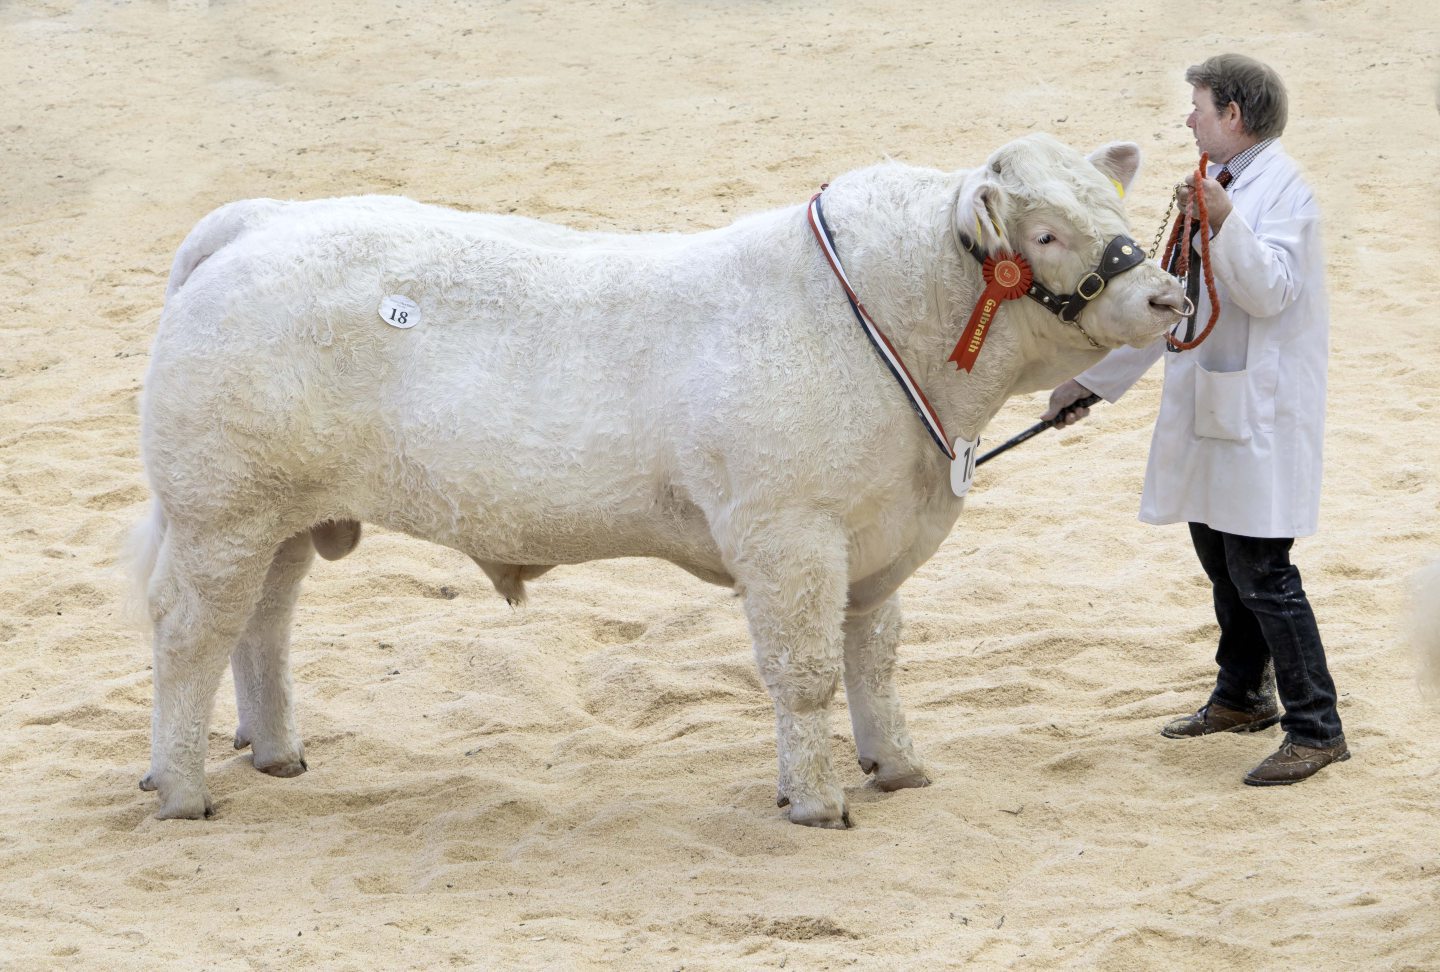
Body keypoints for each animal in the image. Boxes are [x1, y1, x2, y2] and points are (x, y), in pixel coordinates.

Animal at [128, 133, 1186, 828]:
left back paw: (276, 751)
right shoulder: (789, 532)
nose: (1167, 294)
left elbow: (874, 660)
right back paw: (182, 790)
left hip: (277, 516)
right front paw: (816, 801)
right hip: (220, 511)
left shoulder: (874, 535)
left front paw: (897, 767)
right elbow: (805, 672)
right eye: (1043, 235)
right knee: (189, 635)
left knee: (262, 624)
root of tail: (258, 222)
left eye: (1116, 210)